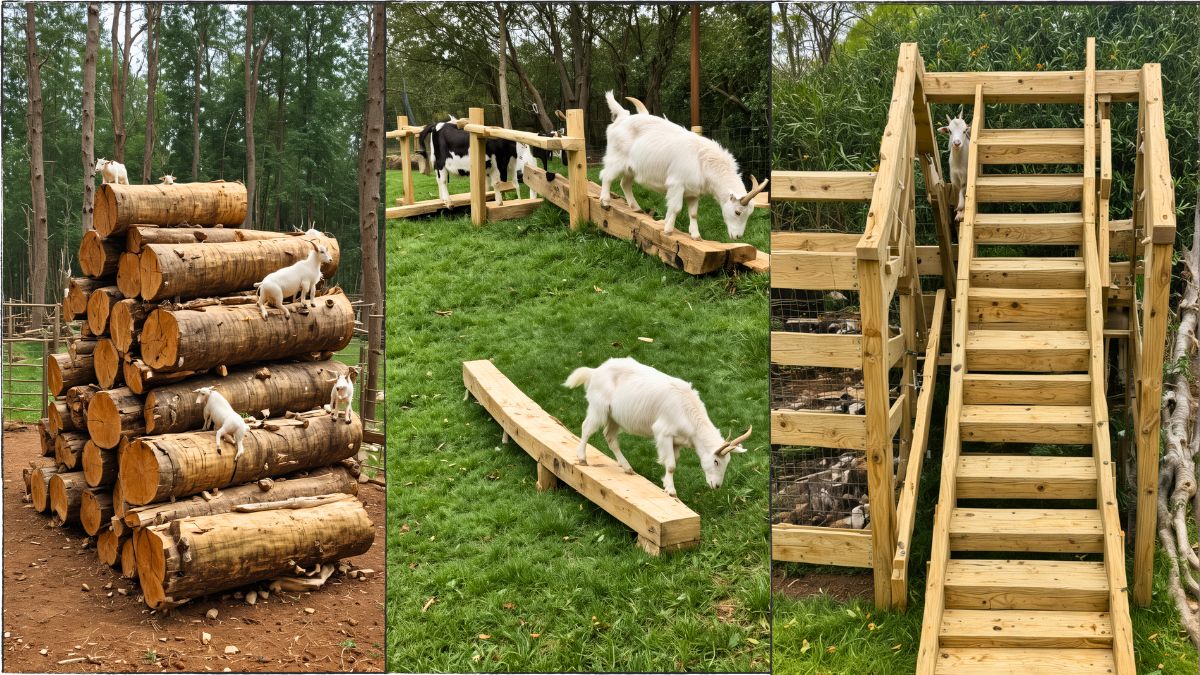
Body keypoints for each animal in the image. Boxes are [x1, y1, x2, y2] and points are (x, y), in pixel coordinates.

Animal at [564, 357, 752, 497]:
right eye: (716, 461)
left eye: (727, 462)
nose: (717, 486)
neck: (687, 411)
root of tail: (595, 371)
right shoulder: (663, 433)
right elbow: (671, 465)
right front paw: (671, 491)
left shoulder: (677, 442)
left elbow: (672, 463)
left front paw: (666, 485)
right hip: (599, 408)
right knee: (587, 428)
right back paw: (582, 458)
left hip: (614, 417)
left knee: (610, 437)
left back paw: (627, 468)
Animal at [600, 92, 767, 241]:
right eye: (738, 212)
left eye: (749, 214)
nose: (738, 237)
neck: (702, 161)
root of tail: (622, 118)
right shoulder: (676, 185)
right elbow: (676, 208)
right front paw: (668, 230)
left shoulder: (694, 192)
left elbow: (693, 213)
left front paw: (695, 236)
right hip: (616, 159)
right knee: (606, 176)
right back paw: (605, 201)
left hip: (631, 168)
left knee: (625, 183)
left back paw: (636, 207)